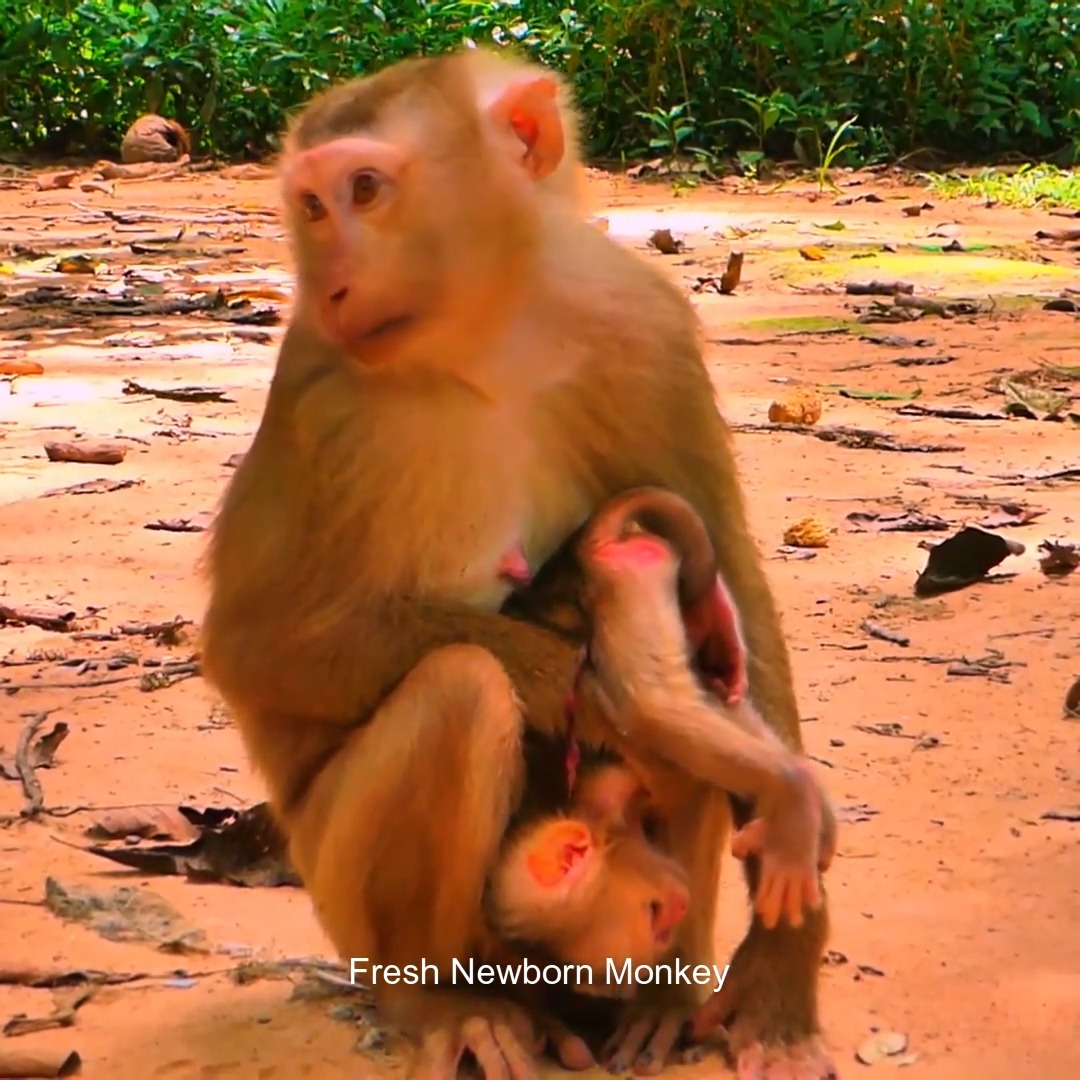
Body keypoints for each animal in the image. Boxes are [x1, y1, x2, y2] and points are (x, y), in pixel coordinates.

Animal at [200, 47, 838, 1080]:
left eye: (364, 191)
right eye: (312, 207)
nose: (328, 281)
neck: (490, 340)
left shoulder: (641, 321)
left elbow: (735, 580)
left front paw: (783, 963)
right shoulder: (318, 394)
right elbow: (251, 647)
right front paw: (562, 676)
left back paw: (664, 1000)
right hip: (338, 892)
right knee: (462, 693)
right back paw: (447, 1003)